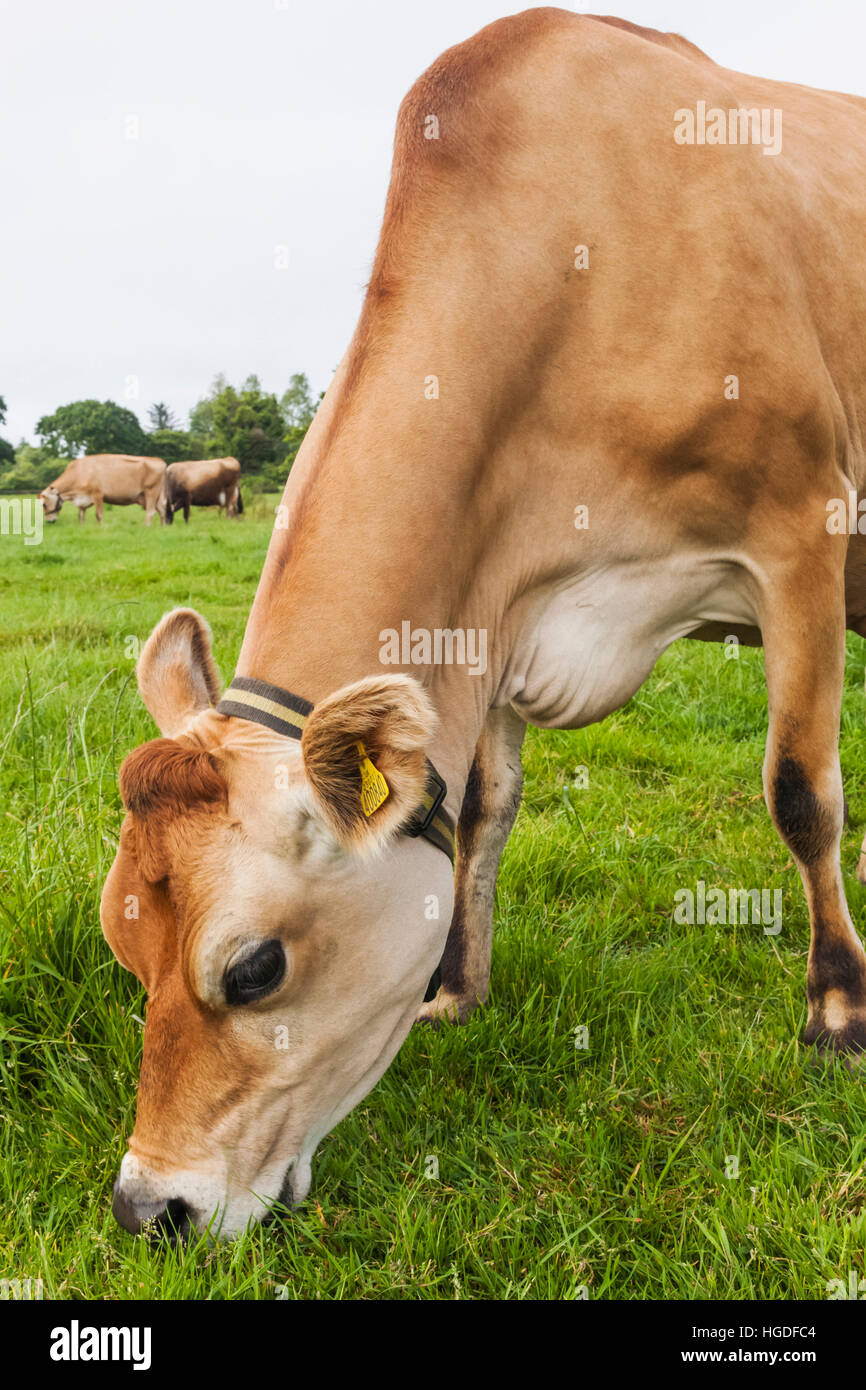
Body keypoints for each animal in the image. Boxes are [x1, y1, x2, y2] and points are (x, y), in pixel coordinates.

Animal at [101, 10, 866, 1242]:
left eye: (255, 968)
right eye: (122, 944)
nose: (146, 1207)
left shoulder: (800, 529)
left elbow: (801, 791)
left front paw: (836, 1011)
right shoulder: (491, 620)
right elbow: (481, 810)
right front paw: (456, 986)